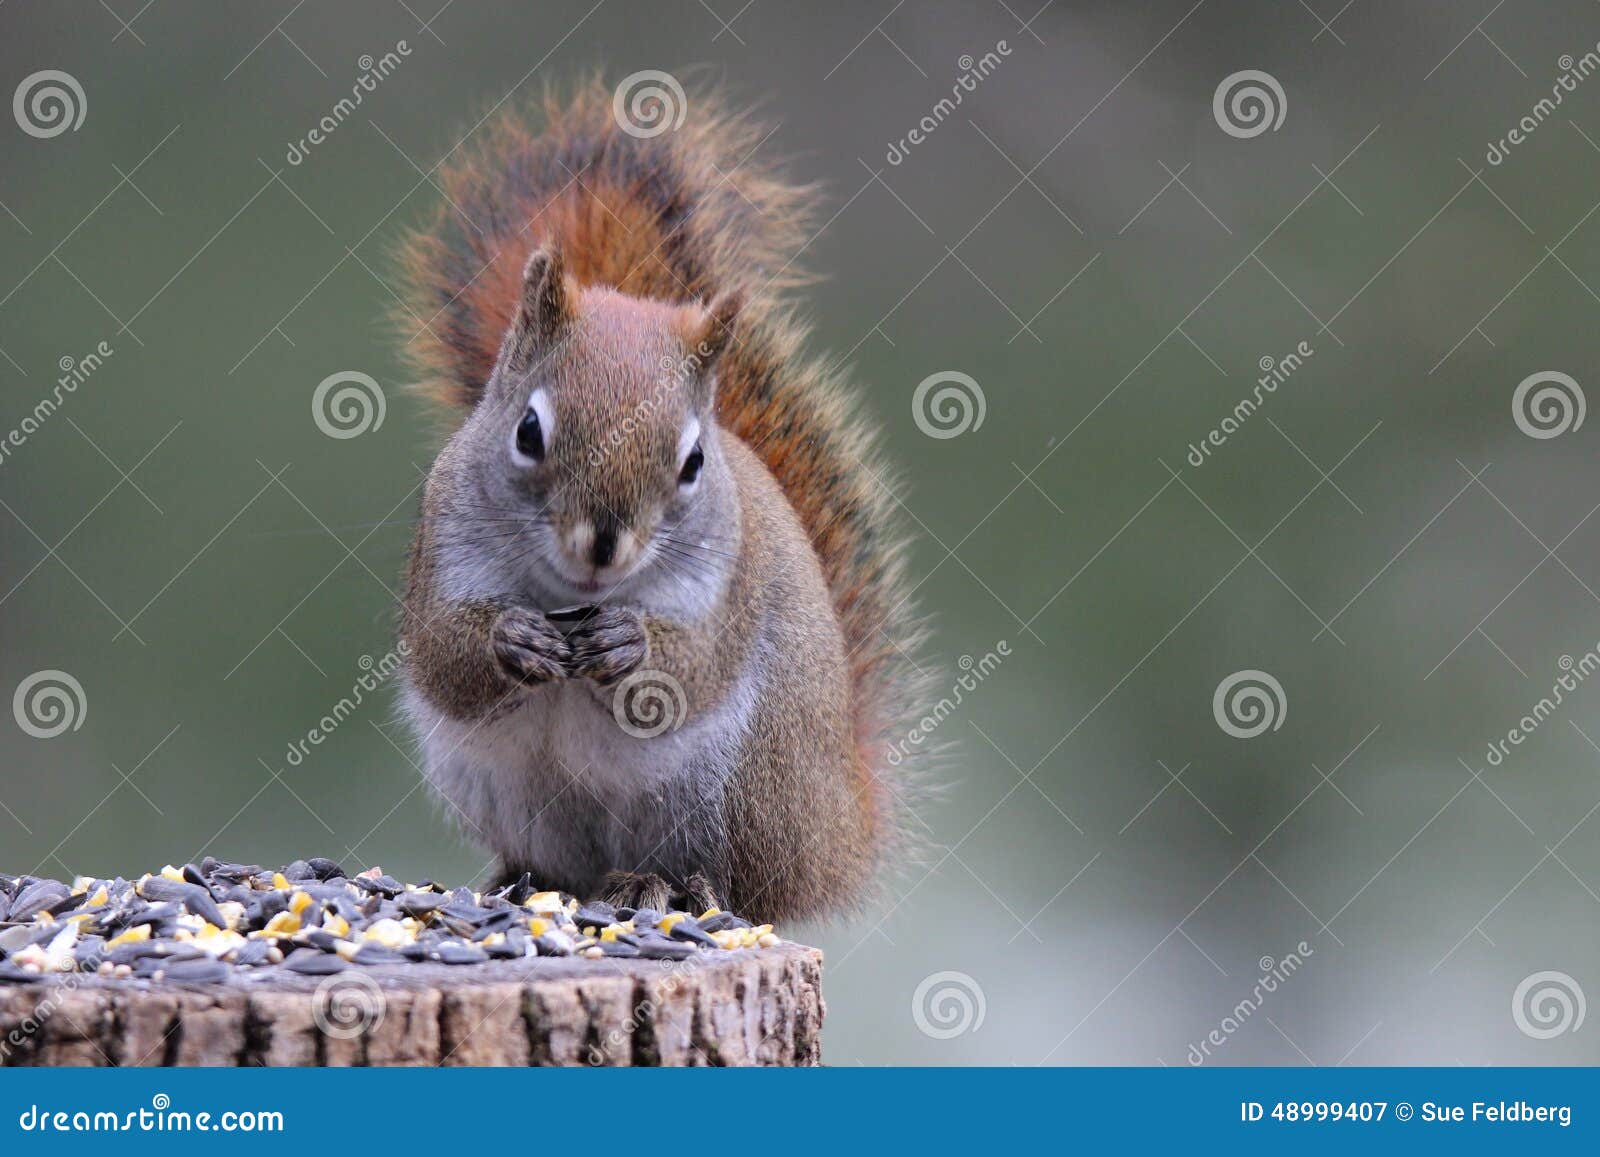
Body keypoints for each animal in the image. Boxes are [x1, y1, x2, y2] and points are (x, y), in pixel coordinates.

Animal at [392, 81, 929, 924]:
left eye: (694, 462)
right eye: (527, 430)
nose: (601, 547)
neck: (571, 598)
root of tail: (840, 836)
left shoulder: (731, 589)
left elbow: (692, 669)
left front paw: (630, 645)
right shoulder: (442, 552)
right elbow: (444, 653)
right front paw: (514, 638)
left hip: (744, 788)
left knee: (739, 885)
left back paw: (665, 884)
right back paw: (522, 877)